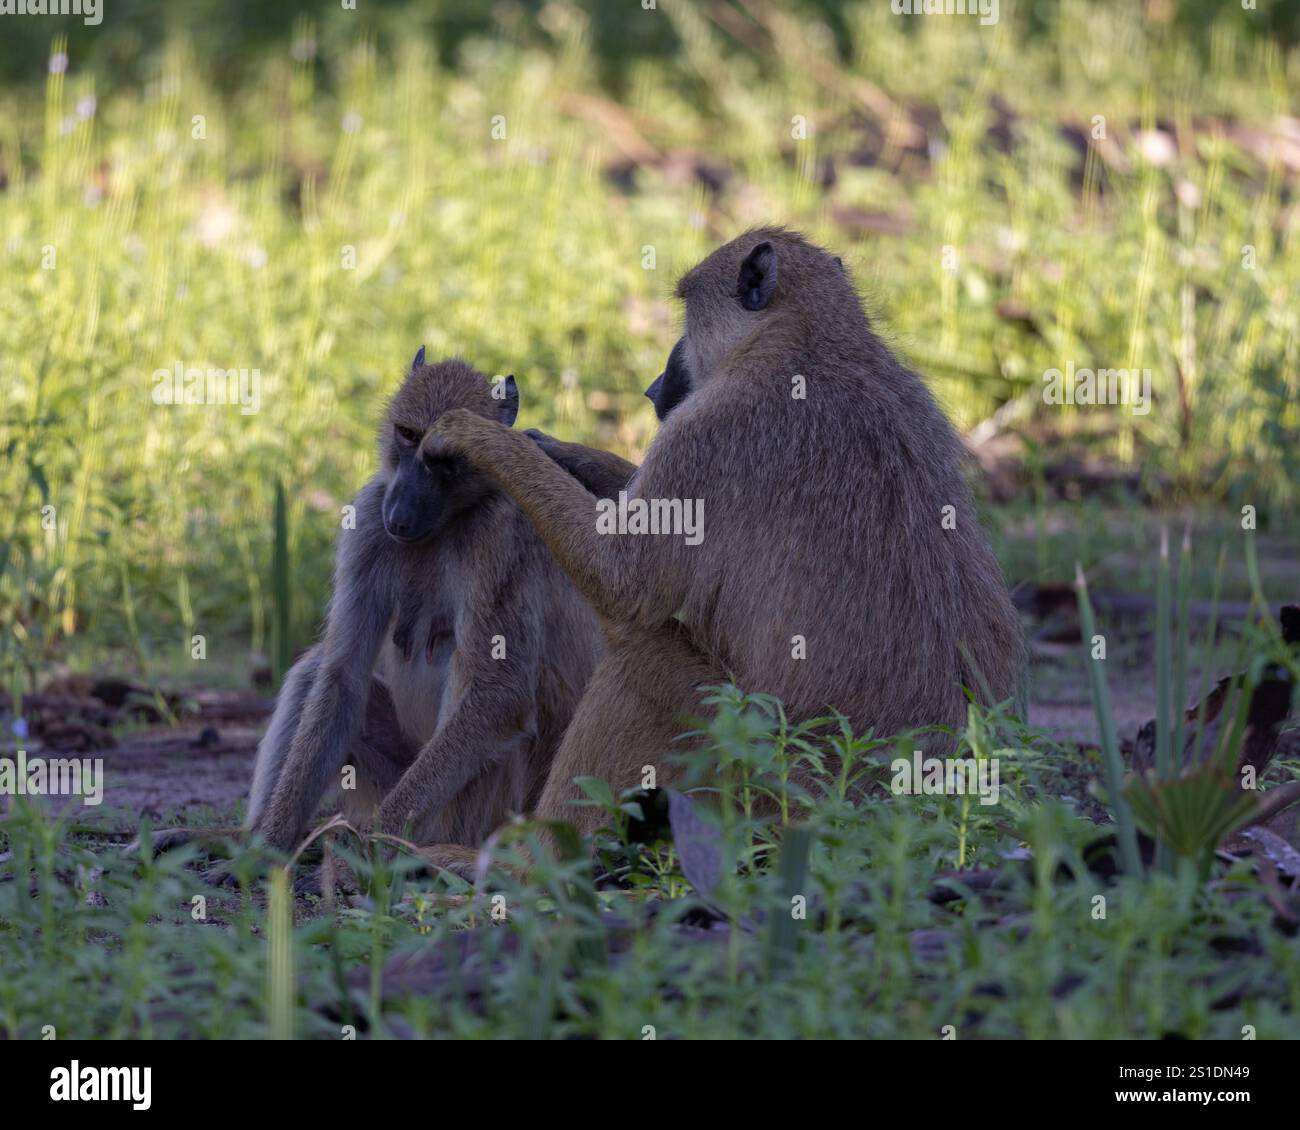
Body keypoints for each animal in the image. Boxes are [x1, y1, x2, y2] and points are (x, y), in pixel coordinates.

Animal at [422, 227, 1024, 859]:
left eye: (685, 315)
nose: (655, 386)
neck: (807, 343)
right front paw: (561, 452)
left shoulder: (711, 431)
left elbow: (623, 581)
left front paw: (477, 437)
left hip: (753, 769)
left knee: (634, 647)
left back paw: (521, 864)